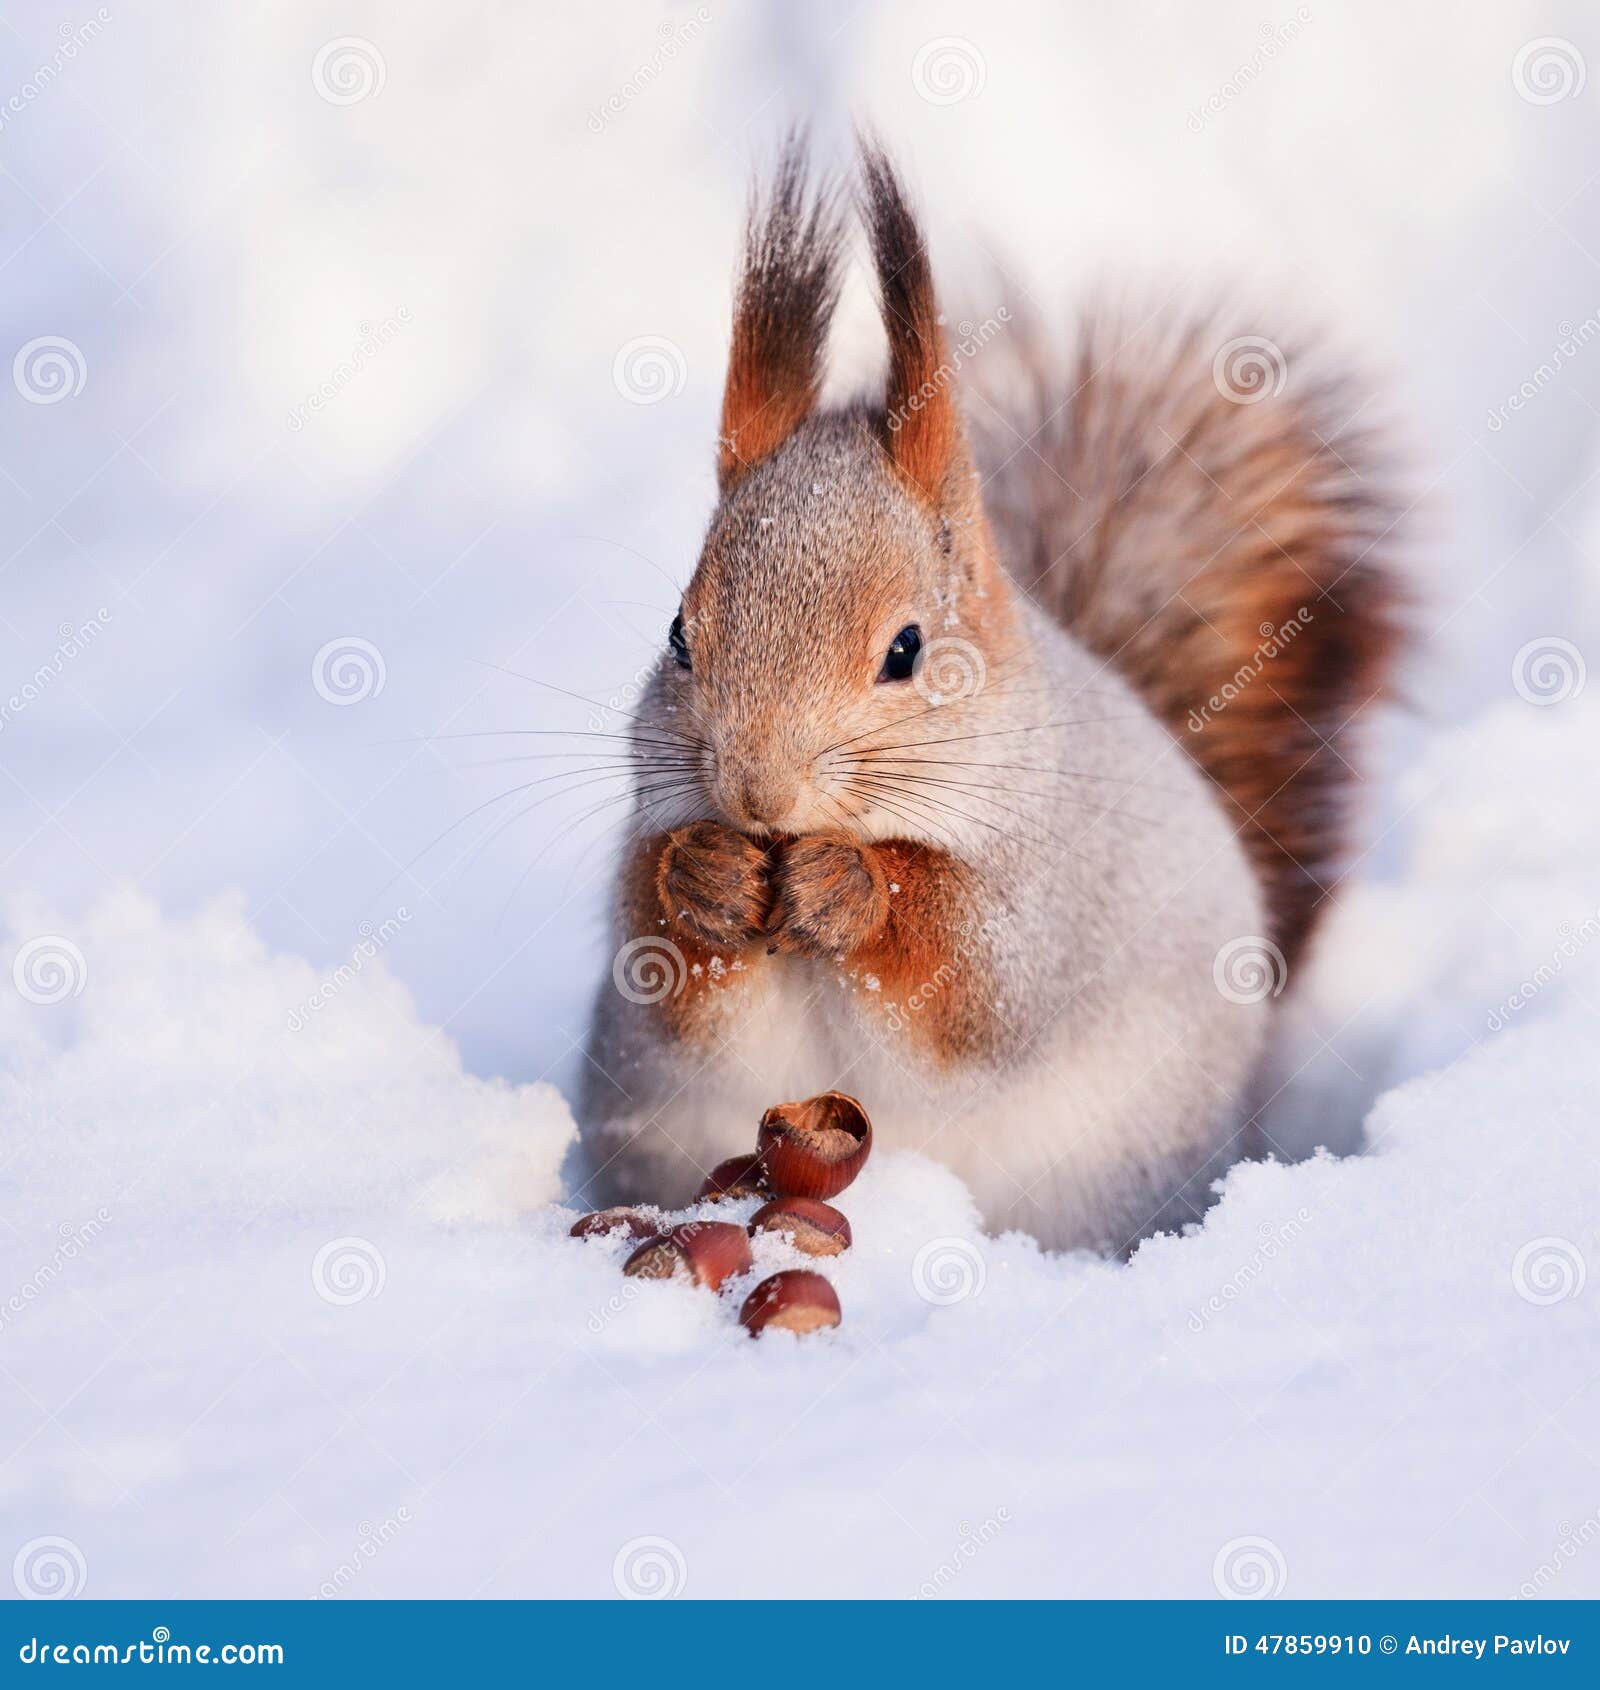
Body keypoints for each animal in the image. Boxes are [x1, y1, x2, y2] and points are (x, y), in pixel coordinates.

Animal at [579, 138, 1401, 1253]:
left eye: (907, 649)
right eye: (677, 638)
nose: (757, 792)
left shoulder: (1054, 894)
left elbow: (973, 990)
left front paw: (854, 887)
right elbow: (664, 974)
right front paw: (704, 874)